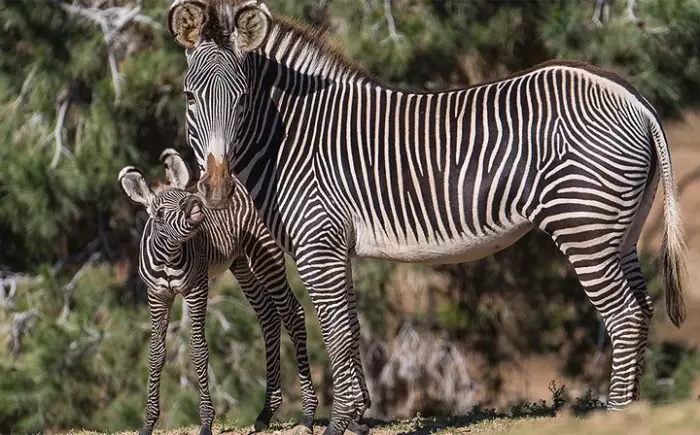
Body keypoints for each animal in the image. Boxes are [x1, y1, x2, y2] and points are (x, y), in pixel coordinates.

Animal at [119, 149, 318, 432]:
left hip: (266, 255)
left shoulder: (197, 289)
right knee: (269, 316)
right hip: (241, 263)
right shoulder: (156, 295)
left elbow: (199, 350)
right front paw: (148, 424)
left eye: (184, 199)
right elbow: (156, 353)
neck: (169, 258)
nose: (194, 207)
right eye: (158, 213)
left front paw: (206, 422)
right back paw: (266, 412)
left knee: (292, 313)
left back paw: (308, 414)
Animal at [165, 1, 688, 434]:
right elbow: (350, 329)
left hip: (584, 226)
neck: (290, 138)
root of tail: (633, 97)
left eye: (241, 98)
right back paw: (634, 411)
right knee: (642, 309)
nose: (216, 189)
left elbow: (335, 331)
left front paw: (340, 421)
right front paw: (357, 419)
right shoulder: (337, 247)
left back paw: (616, 415)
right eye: (190, 97)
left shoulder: (319, 244)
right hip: (620, 231)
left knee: (623, 316)